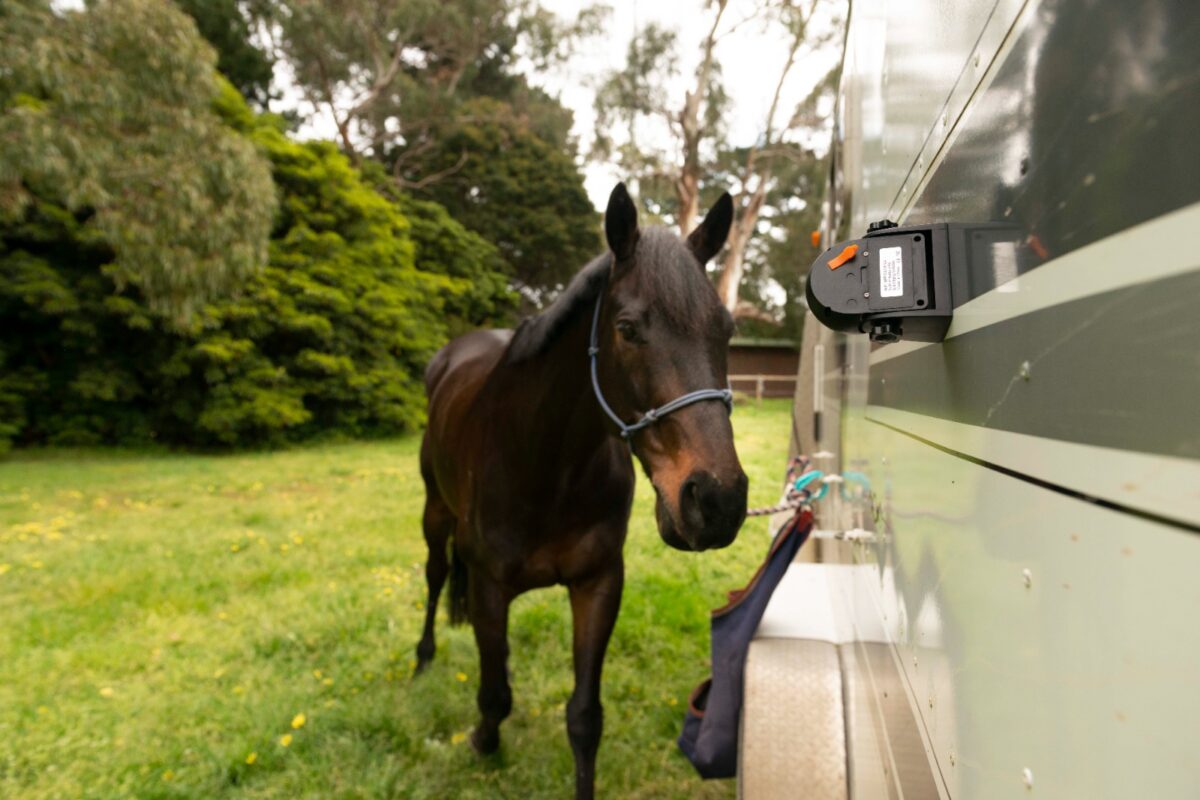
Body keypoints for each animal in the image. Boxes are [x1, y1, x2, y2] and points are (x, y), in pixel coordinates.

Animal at [416, 183, 748, 799]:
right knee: (433, 577)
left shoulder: (598, 583)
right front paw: (481, 741)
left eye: (727, 330)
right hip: (433, 512)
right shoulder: (489, 585)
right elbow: (495, 694)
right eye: (627, 328)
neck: (545, 469)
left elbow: (584, 717)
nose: (718, 501)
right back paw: (422, 660)